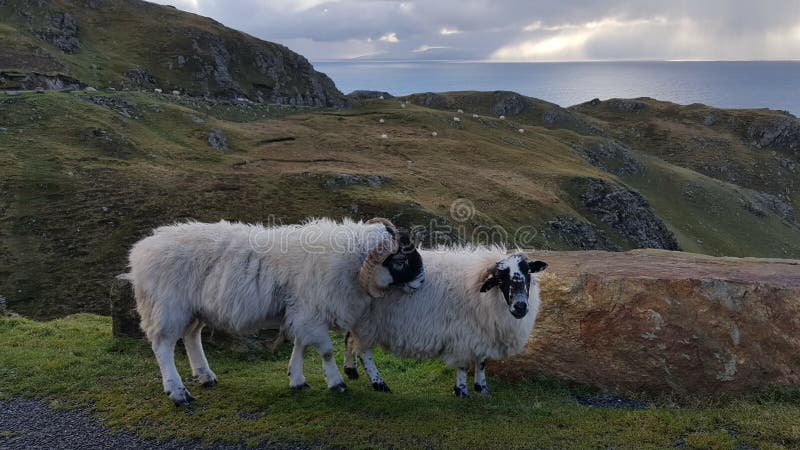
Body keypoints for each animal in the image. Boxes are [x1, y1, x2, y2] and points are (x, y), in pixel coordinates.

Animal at [129, 218, 425, 405]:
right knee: (163, 346)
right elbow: (326, 351)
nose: (422, 281)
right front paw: (336, 383)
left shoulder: (301, 313)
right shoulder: (311, 312)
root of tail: (141, 251)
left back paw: (205, 376)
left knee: (191, 336)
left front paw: (297, 379)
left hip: (195, 309)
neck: (349, 261)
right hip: (168, 305)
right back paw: (178, 392)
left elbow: (300, 345)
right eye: (400, 259)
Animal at [344, 248, 547, 397]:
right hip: (368, 321)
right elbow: (464, 364)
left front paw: (482, 389)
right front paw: (462, 391)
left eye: (528, 274)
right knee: (364, 351)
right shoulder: (465, 334)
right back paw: (379, 383)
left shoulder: (482, 332)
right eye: (501, 279)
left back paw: (351, 371)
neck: (486, 297)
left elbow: (481, 361)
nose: (520, 307)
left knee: (349, 340)